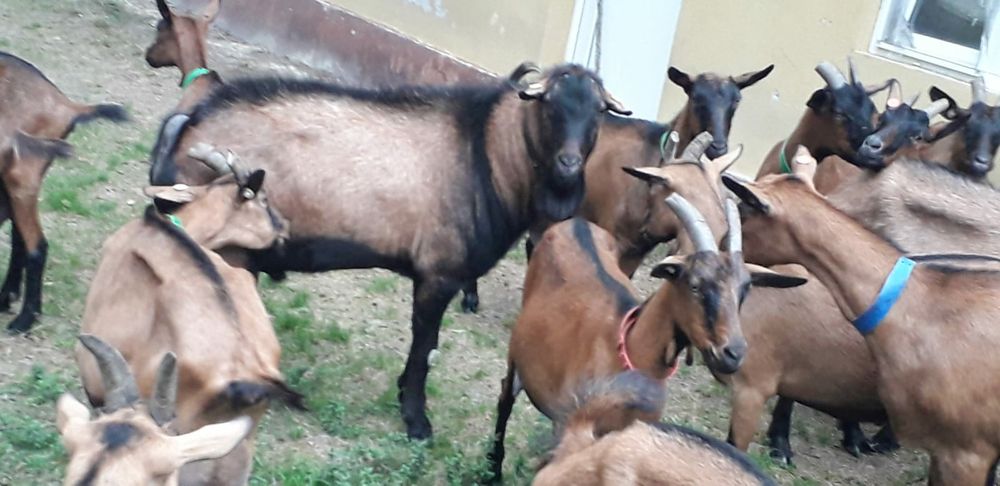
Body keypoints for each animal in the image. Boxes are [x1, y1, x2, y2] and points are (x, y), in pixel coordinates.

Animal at [0, 51, 128, 333]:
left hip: (20, 174)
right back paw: (6, 297)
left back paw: (25, 318)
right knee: (20, 236)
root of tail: (66, 105)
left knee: (37, 244)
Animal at [147, 63, 628, 439]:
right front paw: (416, 420)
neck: (486, 153)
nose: (569, 167)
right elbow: (424, 347)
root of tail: (188, 121)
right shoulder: (439, 274)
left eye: (599, 112)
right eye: (550, 105)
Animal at [461, 63, 774, 312]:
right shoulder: (613, 233)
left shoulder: (637, 248)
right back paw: (471, 298)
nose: (718, 146)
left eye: (736, 100)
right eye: (696, 96)